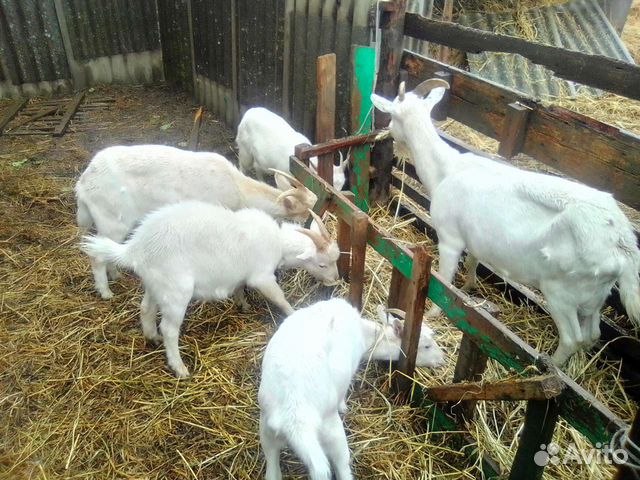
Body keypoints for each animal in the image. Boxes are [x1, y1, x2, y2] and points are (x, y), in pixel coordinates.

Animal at [75, 144, 317, 299]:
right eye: (306, 213)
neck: (239, 189)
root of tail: (83, 185)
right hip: (112, 218)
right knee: (96, 255)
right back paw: (106, 293)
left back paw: (116, 275)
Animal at [80, 201, 340, 377]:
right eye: (321, 264)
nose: (335, 280)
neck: (277, 241)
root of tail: (135, 248)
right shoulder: (263, 276)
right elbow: (279, 298)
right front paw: (294, 314)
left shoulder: (241, 275)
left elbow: (239, 287)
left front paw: (243, 304)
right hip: (176, 290)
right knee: (169, 329)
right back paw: (179, 367)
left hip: (156, 283)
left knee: (146, 309)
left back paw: (151, 337)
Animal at [258, 298, 444, 480]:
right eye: (426, 346)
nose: (443, 359)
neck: (365, 334)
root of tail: (296, 420)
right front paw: (344, 407)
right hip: (332, 431)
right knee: (339, 467)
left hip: (267, 432)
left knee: (273, 471)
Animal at [371, 79, 640, 366]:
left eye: (392, 114)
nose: (384, 132)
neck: (447, 169)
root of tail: (622, 238)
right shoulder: (474, 238)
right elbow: (472, 261)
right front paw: (468, 286)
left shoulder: (449, 238)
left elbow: (444, 277)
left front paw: (435, 311)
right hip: (595, 294)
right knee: (593, 334)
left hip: (561, 291)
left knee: (572, 338)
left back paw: (549, 366)